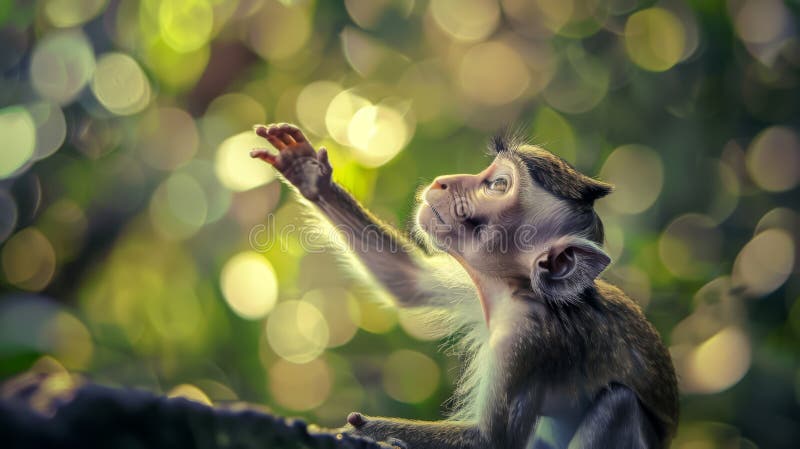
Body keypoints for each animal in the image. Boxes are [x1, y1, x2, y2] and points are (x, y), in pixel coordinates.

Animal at [250, 123, 679, 449]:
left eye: (498, 184)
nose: (443, 182)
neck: (513, 288)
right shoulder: (472, 278)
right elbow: (407, 280)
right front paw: (309, 174)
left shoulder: (527, 340)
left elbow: (492, 440)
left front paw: (359, 429)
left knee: (619, 403)